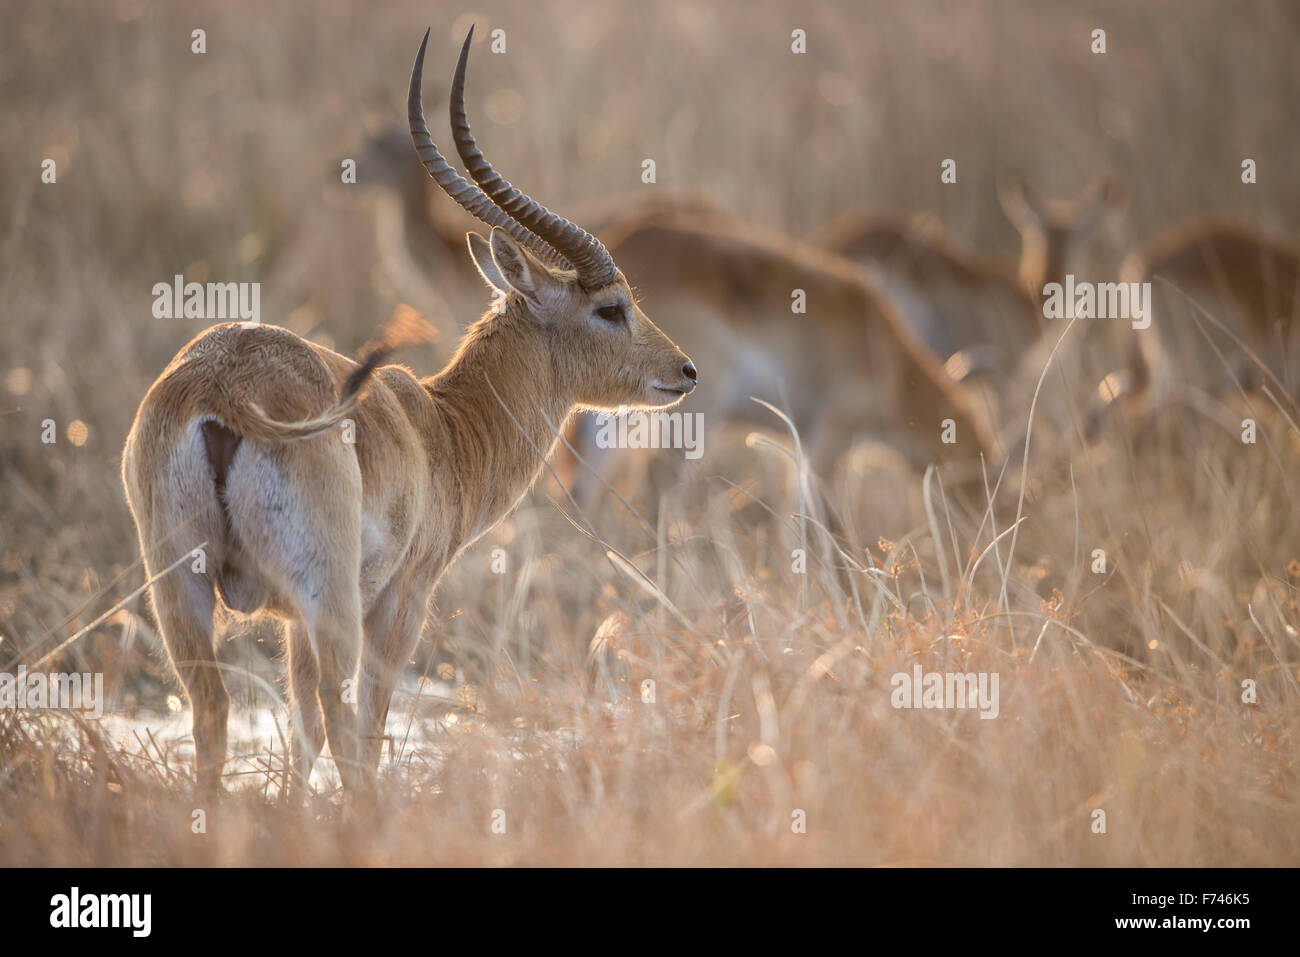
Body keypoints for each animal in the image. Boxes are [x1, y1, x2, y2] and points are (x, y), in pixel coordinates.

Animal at [120, 27, 697, 796]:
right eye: (611, 307)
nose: (684, 371)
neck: (441, 428)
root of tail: (219, 394)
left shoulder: (290, 624)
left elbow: (300, 736)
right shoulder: (402, 601)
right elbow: (360, 728)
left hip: (180, 589)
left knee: (214, 715)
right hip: (328, 601)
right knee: (340, 725)